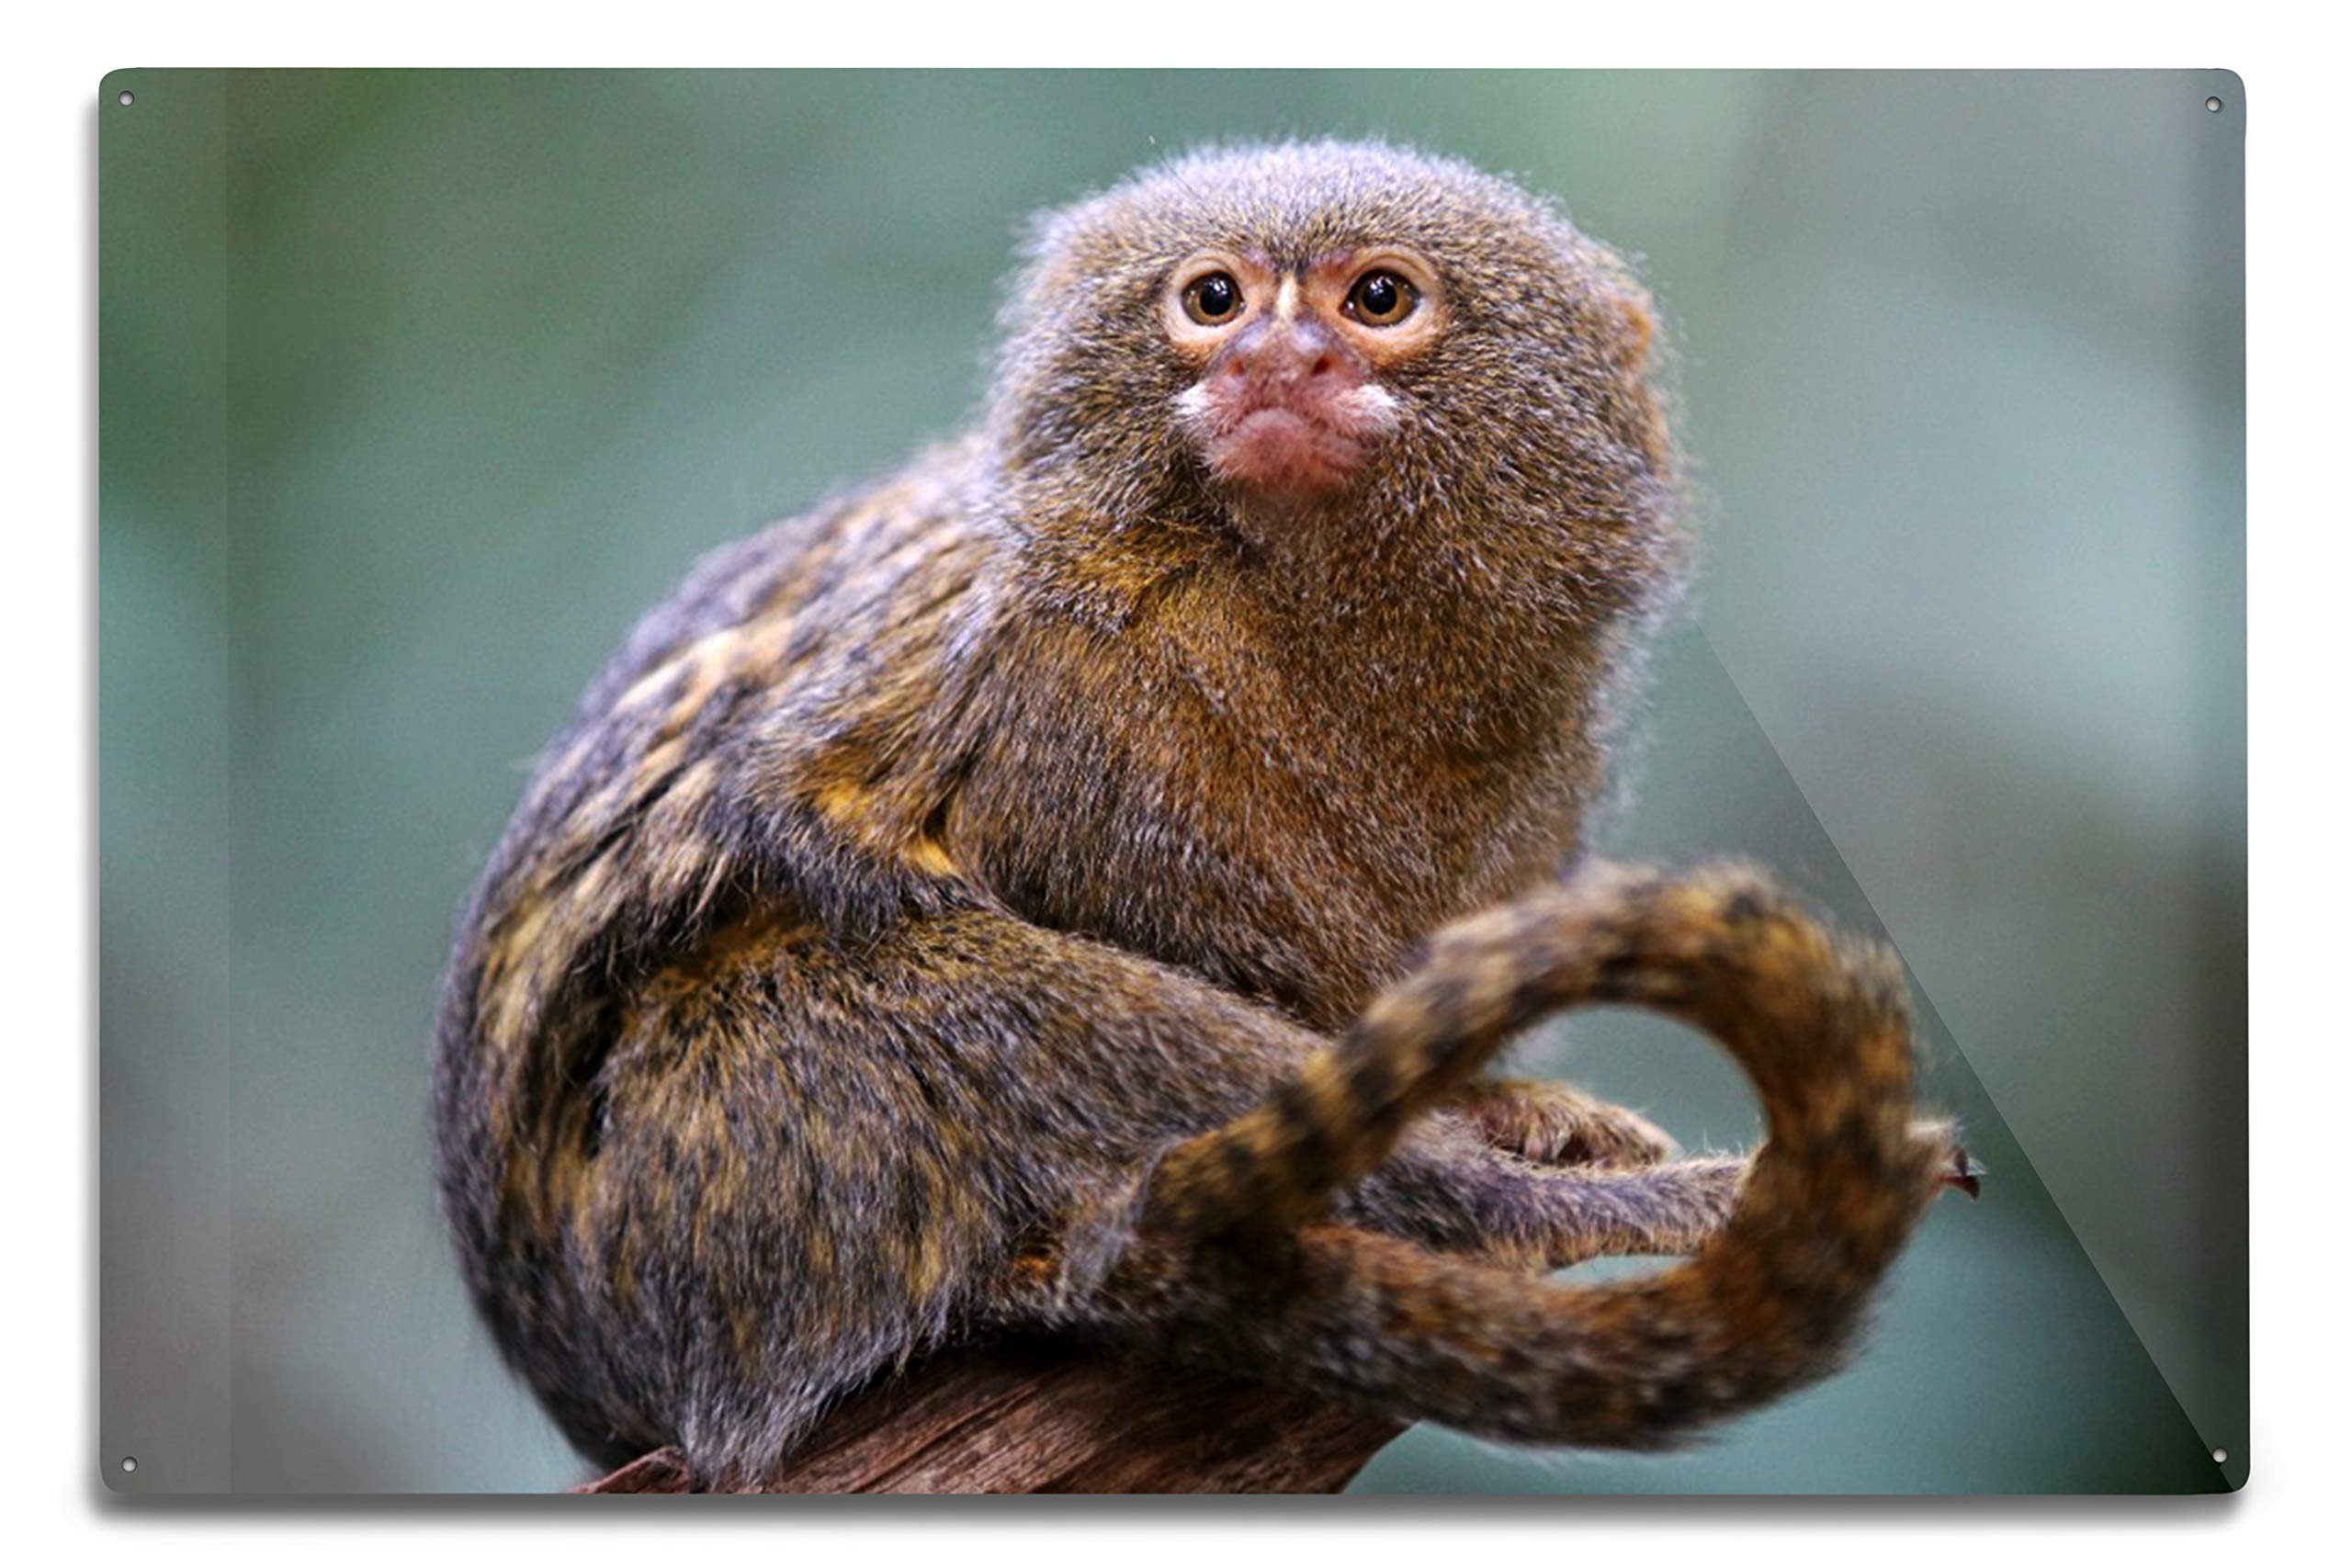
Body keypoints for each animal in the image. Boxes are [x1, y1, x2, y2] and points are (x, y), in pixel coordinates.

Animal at [431, 140, 1976, 1492]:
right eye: (1213, 301)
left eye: (1377, 300)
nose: (1274, 365)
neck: (1284, 594)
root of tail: (609, 1385)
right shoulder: (1027, 658)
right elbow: (814, 829)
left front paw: (1513, 1100)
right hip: (718, 1182)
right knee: (939, 1000)